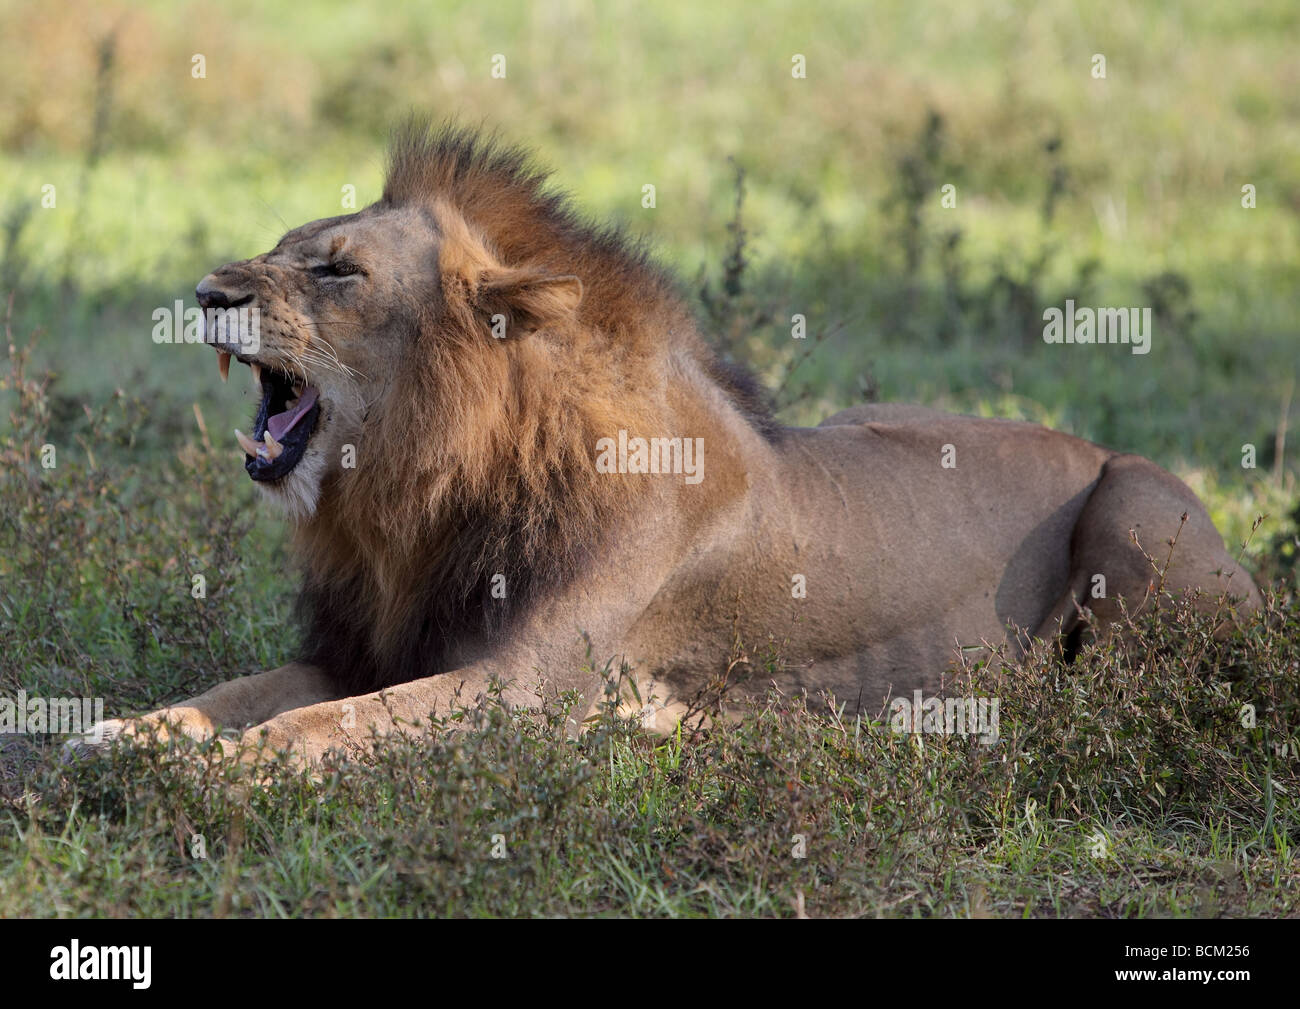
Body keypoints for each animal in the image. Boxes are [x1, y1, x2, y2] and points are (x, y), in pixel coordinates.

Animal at [86, 121, 1261, 765]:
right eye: (285, 243)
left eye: (336, 270)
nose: (206, 294)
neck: (415, 494)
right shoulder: (355, 650)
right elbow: (237, 694)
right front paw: (128, 739)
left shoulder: (524, 687)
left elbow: (324, 729)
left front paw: (224, 773)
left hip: (1139, 502)